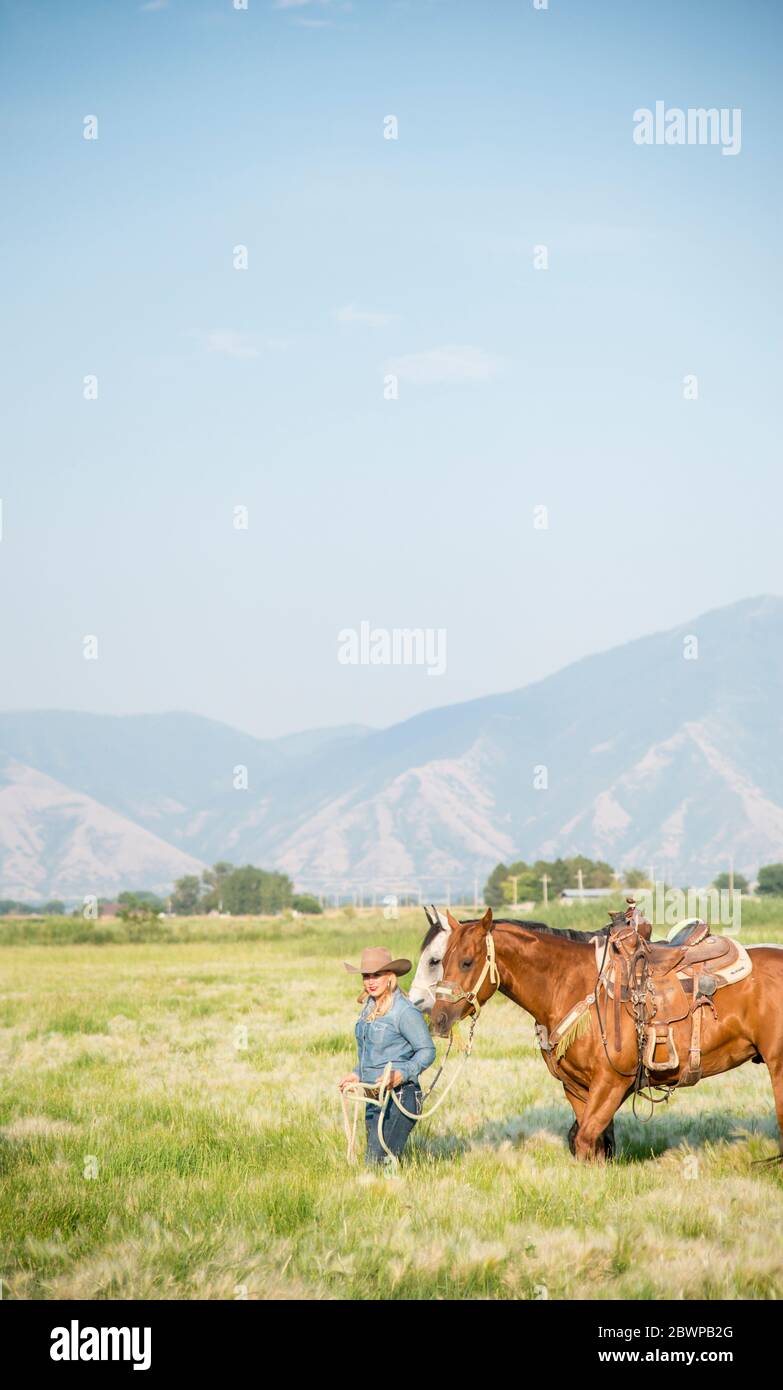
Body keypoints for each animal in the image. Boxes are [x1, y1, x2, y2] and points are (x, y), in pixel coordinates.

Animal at [430, 906, 783, 1162]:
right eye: (440, 961)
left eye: (466, 962)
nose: (438, 1019)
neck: (572, 985)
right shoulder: (577, 1088)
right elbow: (590, 1144)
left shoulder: (612, 1083)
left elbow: (587, 1139)